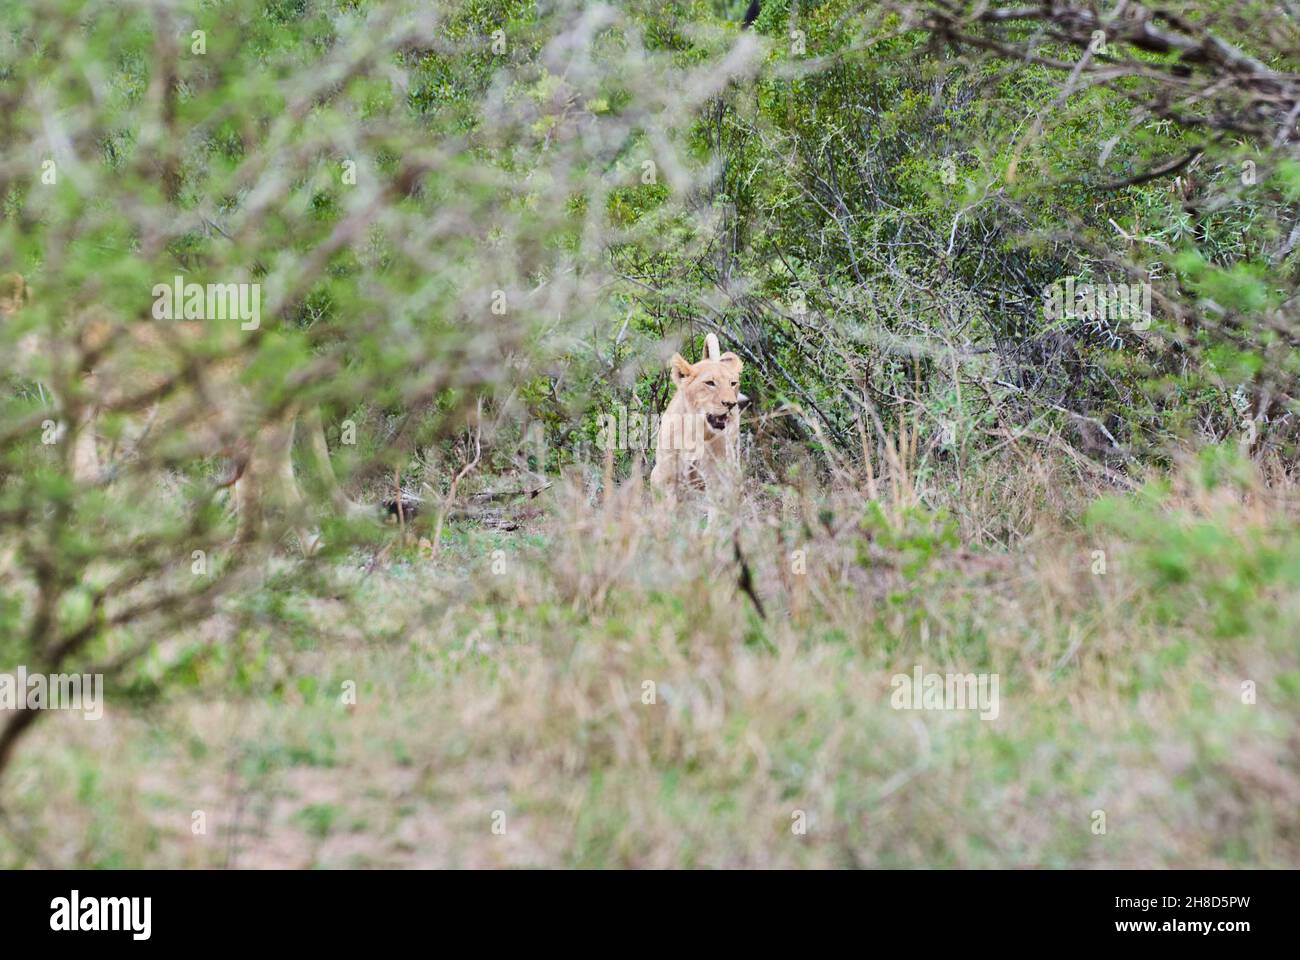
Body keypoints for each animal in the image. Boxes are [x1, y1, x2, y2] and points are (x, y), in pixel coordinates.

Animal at [1, 272, 367, 547]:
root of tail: (295, 352)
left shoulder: (135, 425)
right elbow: (86, 476)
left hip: (260, 439)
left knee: (255, 524)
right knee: (295, 512)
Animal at [649, 332, 746, 497]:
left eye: (733, 383)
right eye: (710, 383)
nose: (731, 404)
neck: (694, 431)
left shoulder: (716, 478)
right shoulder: (664, 478)